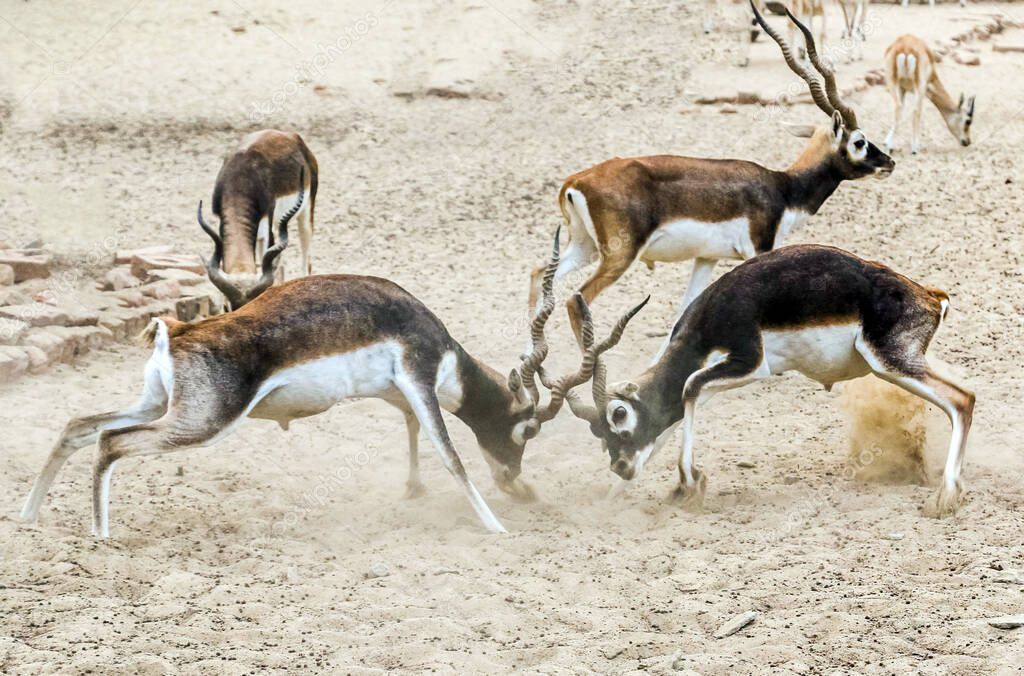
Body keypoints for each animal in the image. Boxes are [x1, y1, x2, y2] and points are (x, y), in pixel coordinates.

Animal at [19, 230, 641, 538]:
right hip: (201, 422)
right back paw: (101, 535)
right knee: (111, 443)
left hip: (159, 403)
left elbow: (412, 428)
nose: (518, 486)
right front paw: (494, 525)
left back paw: (29, 516)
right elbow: (450, 455)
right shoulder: (419, 376)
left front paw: (412, 491)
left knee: (78, 426)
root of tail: (175, 330)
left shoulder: (398, 391)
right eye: (527, 430)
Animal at [198, 129, 319, 310]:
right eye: (227, 307)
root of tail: (290, 135)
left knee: (306, 259)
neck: (240, 179)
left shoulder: (267, 224)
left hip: (304, 213)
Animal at [529, 1, 894, 358]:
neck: (784, 189)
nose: (889, 162)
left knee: (538, 277)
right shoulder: (759, 250)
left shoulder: (707, 257)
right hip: (619, 255)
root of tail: (576, 182)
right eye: (859, 141)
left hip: (586, 247)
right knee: (576, 299)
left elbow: (684, 309)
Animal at [560, 244, 975, 519]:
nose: (620, 466)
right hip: (902, 364)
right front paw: (616, 495)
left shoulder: (749, 363)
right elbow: (674, 417)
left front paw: (689, 486)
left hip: (890, 362)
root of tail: (931, 297)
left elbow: (689, 387)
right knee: (964, 393)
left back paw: (945, 496)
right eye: (599, 434)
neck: (714, 314)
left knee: (962, 399)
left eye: (619, 416)